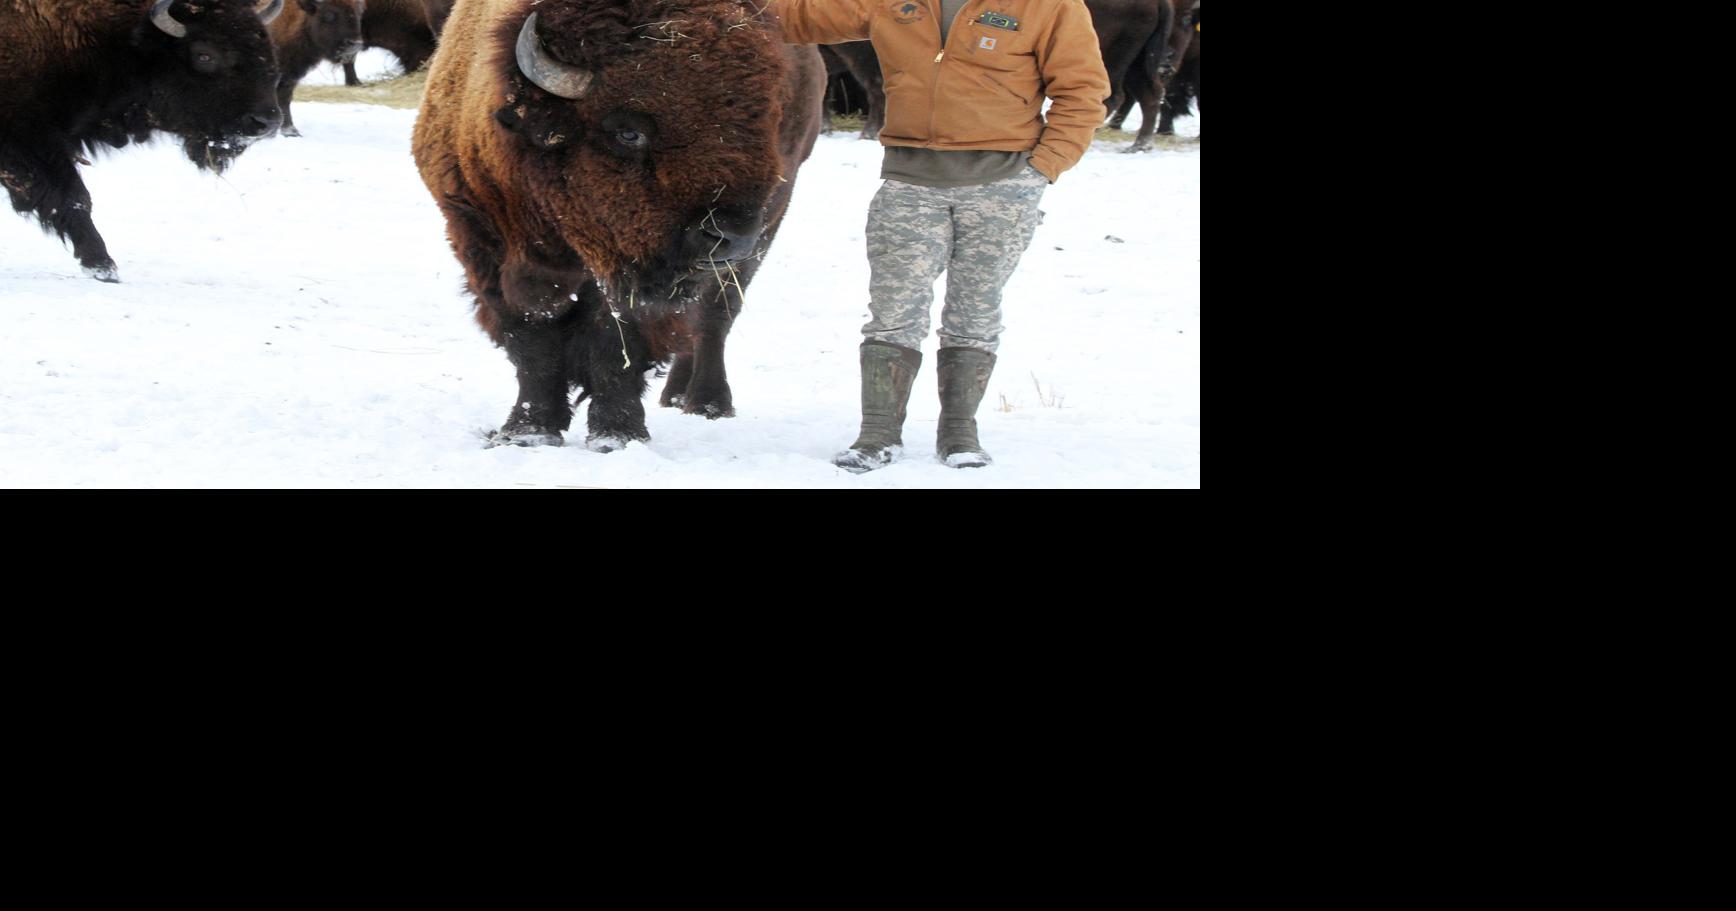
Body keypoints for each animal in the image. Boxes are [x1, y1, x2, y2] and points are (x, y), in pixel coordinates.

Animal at [1, 0, 286, 282]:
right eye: (204, 54)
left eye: (267, 48)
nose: (266, 121)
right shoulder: (32, 145)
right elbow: (74, 198)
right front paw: (104, 267)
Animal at [413, 0, 825, 450]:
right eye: (628, 133)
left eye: (763, 120)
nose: (731, 236)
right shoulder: (483, 244)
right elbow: (530, 339)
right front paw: (528, 432)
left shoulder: (628, 272)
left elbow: (616, 338)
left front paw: (616, 434)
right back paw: (675, 394)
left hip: (765, 228)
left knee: (715, 315)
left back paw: (708, 402)